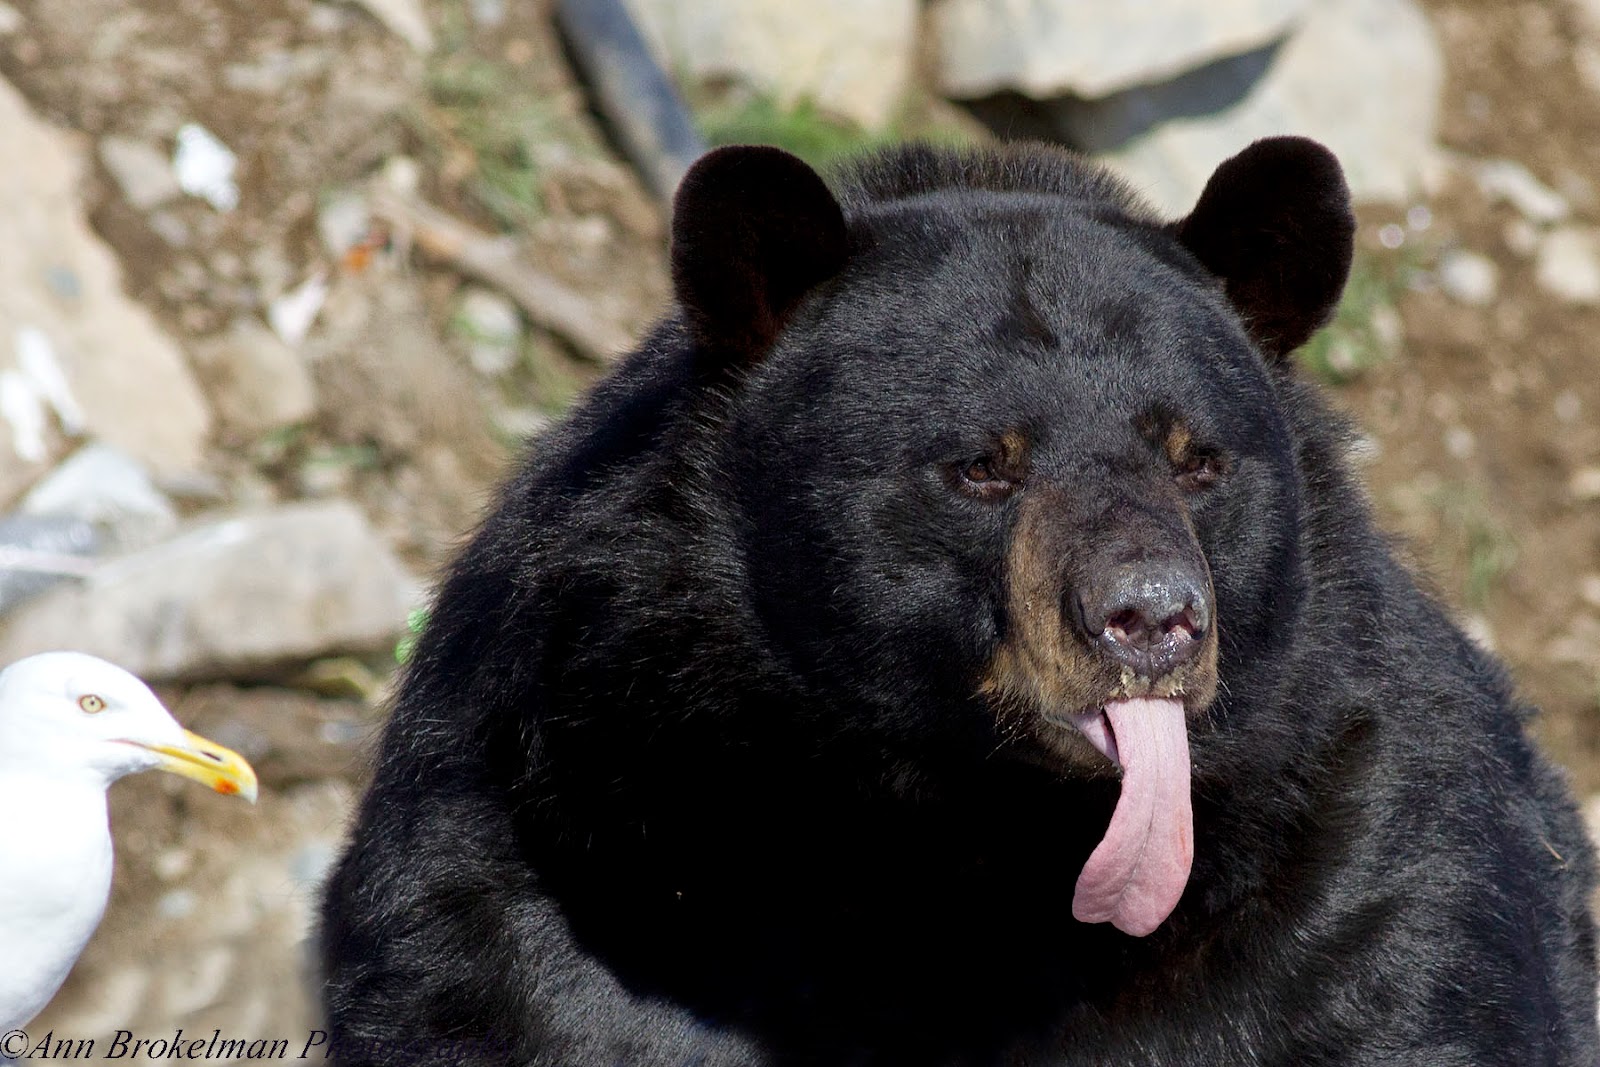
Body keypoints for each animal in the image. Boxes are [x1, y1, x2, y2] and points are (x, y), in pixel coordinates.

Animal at [318, 137, 1600, 1066]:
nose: (1154, 617)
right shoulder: (550, 859)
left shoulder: (1350, 893)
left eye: (1196, 460)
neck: (968, 845)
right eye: (984, 464)